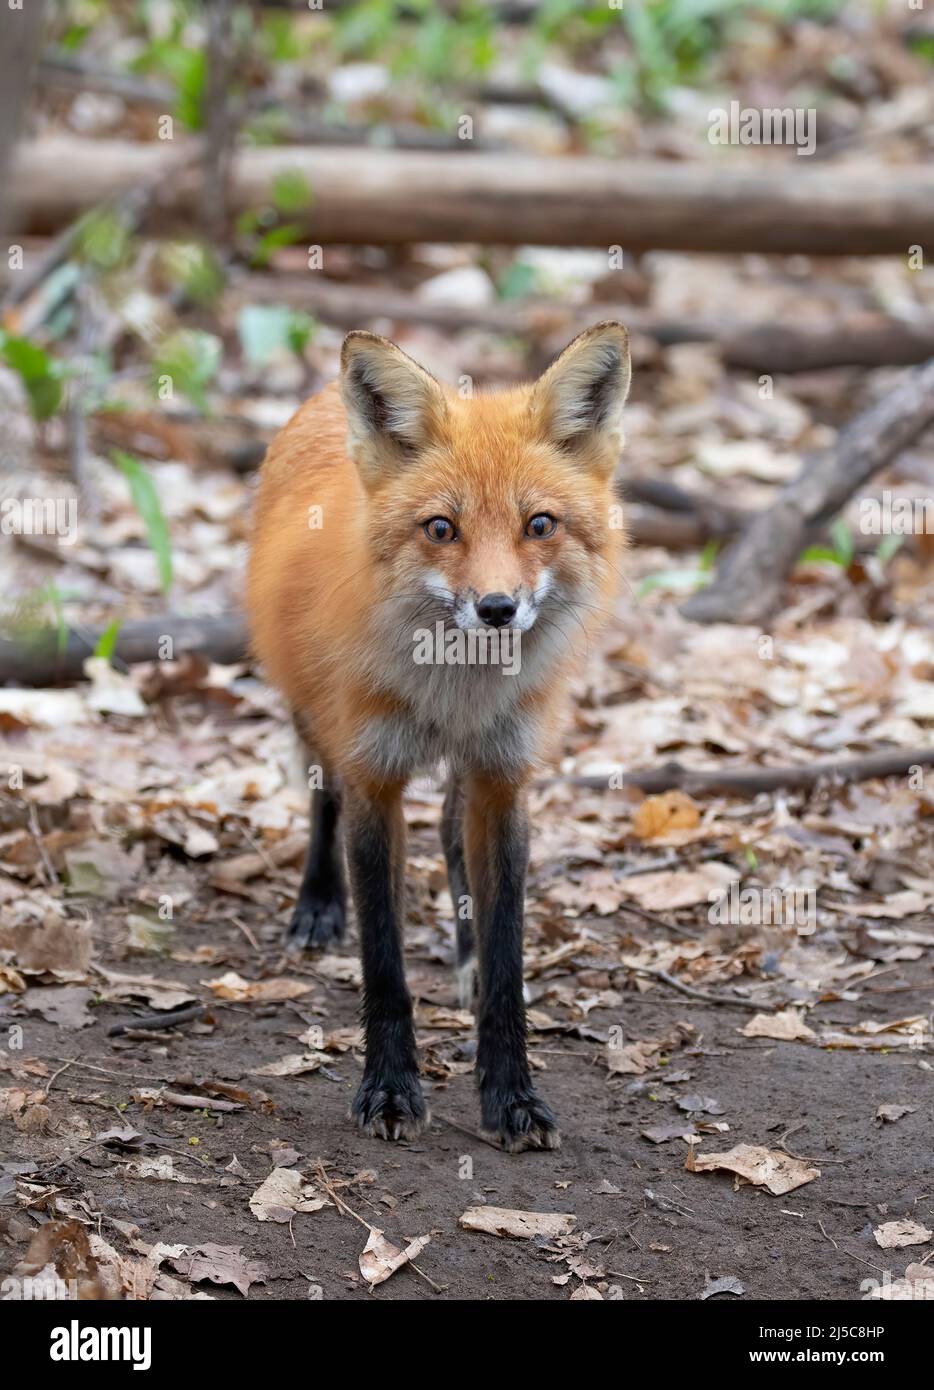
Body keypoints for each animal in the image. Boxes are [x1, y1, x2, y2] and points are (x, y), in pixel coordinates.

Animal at [246, 321, 630, 1152]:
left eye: (539, 525)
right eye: (442, 529)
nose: (496, 608)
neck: (454, 693)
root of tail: (321, 399)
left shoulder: (503, 776)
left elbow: (507, 951)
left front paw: (511, 1094)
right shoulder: (374, 774)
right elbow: (383, 961)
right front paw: (390, 1088)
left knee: (453, 832)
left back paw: (466, 962)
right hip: (311, 715)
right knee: (321, 797)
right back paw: (318, 905)